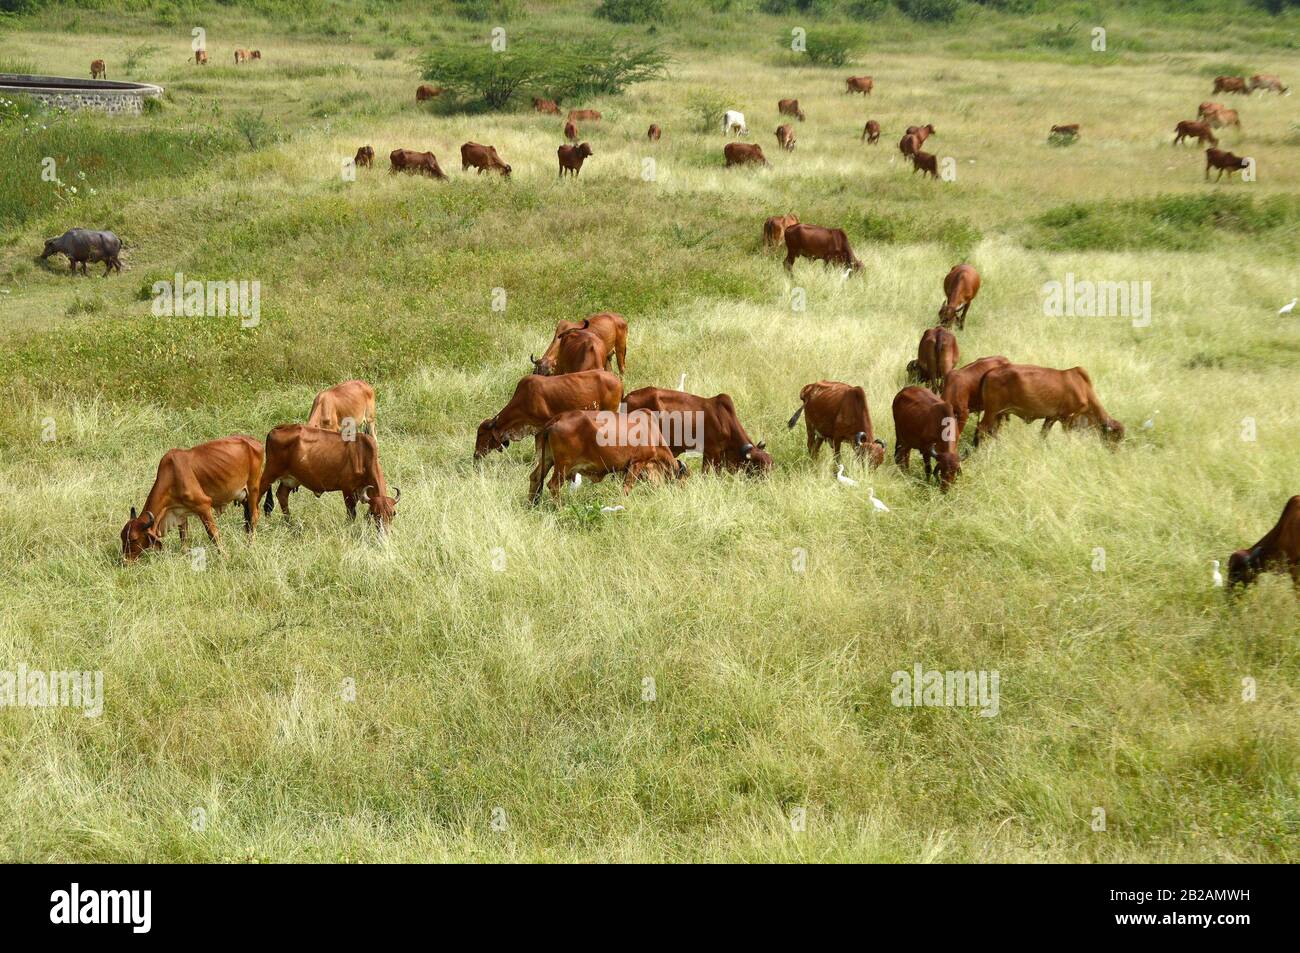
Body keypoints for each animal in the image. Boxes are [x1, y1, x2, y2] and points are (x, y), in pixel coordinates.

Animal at [120, 436, 264, 561]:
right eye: (122, 537)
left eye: (133, 539)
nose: (125, 561)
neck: (171, 475)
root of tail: (254, 441)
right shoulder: (180, 512)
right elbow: (184, 537)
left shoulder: (203, 506)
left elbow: (213, 534)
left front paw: (225, 557)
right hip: (244, 497)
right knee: (247, 520)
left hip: (253, 488)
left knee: (253, 516)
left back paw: (250, 545)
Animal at [258, 425, 399, 530]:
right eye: (376, 515)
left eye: (392, 514)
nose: (384, 534)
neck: (363, 456)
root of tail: (276, 429)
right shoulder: (347, 489)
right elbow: (351, 514)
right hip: (269, 474)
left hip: (290, 479)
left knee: (282, 495)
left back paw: (289, 524)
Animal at [528, 409, 685, 504]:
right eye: (684, 481)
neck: (651, 431)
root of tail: (557, 419)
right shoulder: (637, 463)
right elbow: (627, 487)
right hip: (563, 465)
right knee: (554, 485)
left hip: (547, 459)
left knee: (535, 477)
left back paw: (531, 505)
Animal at [974, 364, 1123, 446]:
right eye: (1115, 438)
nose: (1114, 453)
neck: (1084, 389)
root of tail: (989, 372)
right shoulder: (1067, 419)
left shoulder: (1051, 417)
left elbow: (1043, 435)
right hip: (991, 411)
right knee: (982, 430)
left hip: (999, 414)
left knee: (994, 432)